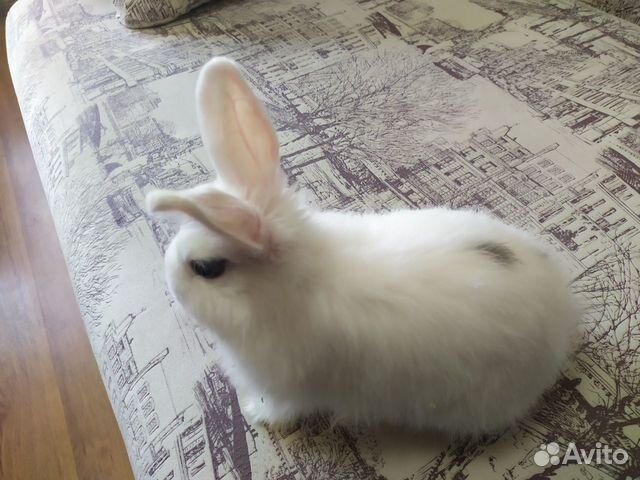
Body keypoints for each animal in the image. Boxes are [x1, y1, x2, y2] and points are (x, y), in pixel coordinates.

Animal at [146, 57, 580, 437]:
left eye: (206, 269)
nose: (170, 285)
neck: (287, 287)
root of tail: (561, 315)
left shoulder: (287, 387)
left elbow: (281, 409)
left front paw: (256, 414)